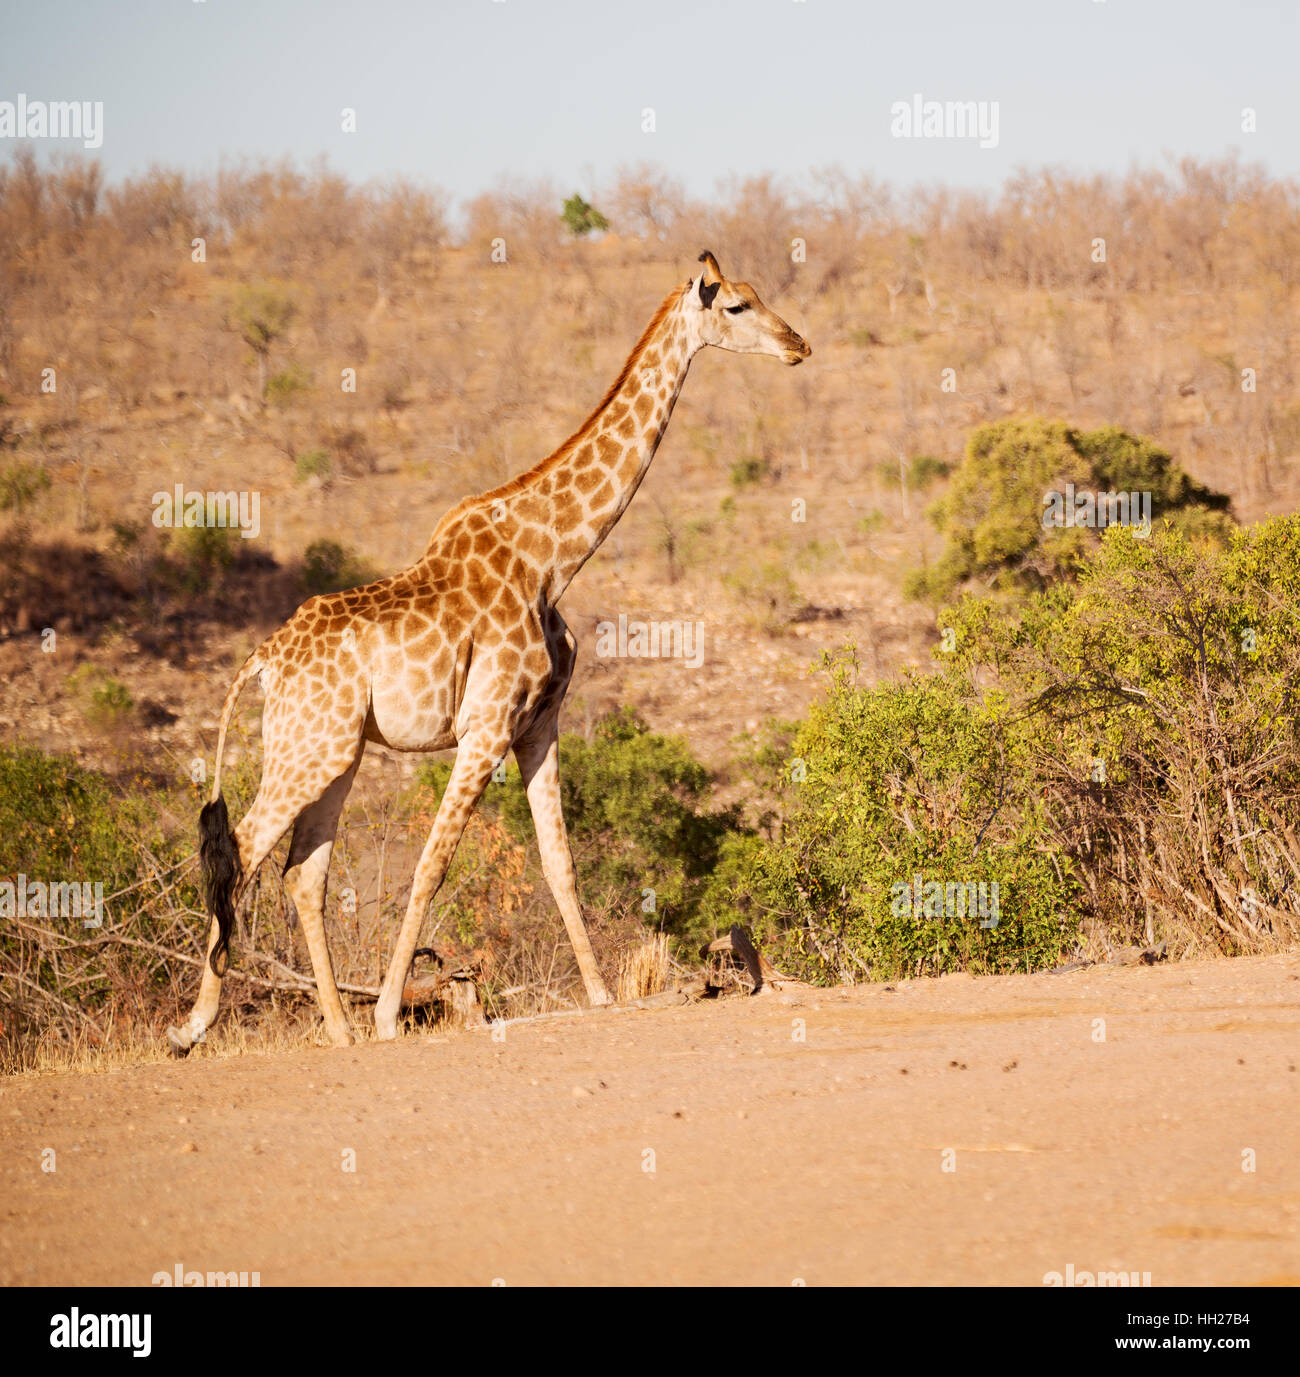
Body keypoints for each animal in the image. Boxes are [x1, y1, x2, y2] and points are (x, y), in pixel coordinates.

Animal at [167, 251, 810, 1055]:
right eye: (737, 306)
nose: (798, 344)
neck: (555, 557)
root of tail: (261, 662)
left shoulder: (539, 724)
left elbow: (560, 861)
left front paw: (601, 995)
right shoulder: (487, 726)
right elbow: (432, 865)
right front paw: (390, 1013)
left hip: (334, 751)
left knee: (301, 873)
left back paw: (337, 1029)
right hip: (308, 749)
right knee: (244, 849)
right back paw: (195, 1025)